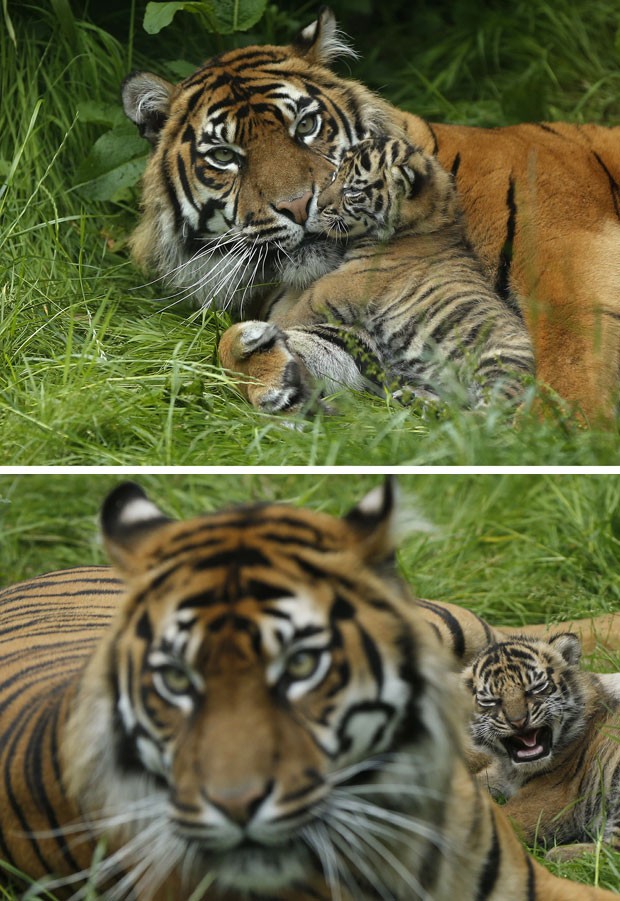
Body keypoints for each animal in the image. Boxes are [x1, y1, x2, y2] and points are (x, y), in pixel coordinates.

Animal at [219, 136, 534, 410]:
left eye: (352, 191)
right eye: (334, 177)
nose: (317, 206)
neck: (428, 221)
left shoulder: (343, 284)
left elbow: (301, 306)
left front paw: (267, 327)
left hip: (498, 364)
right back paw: (419, 402)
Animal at [463, 633, 620, 859]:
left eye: (535, 689)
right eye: (492, 701)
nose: (518, 721)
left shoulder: (545, 802)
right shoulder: (499, 776)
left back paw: (558, 855)